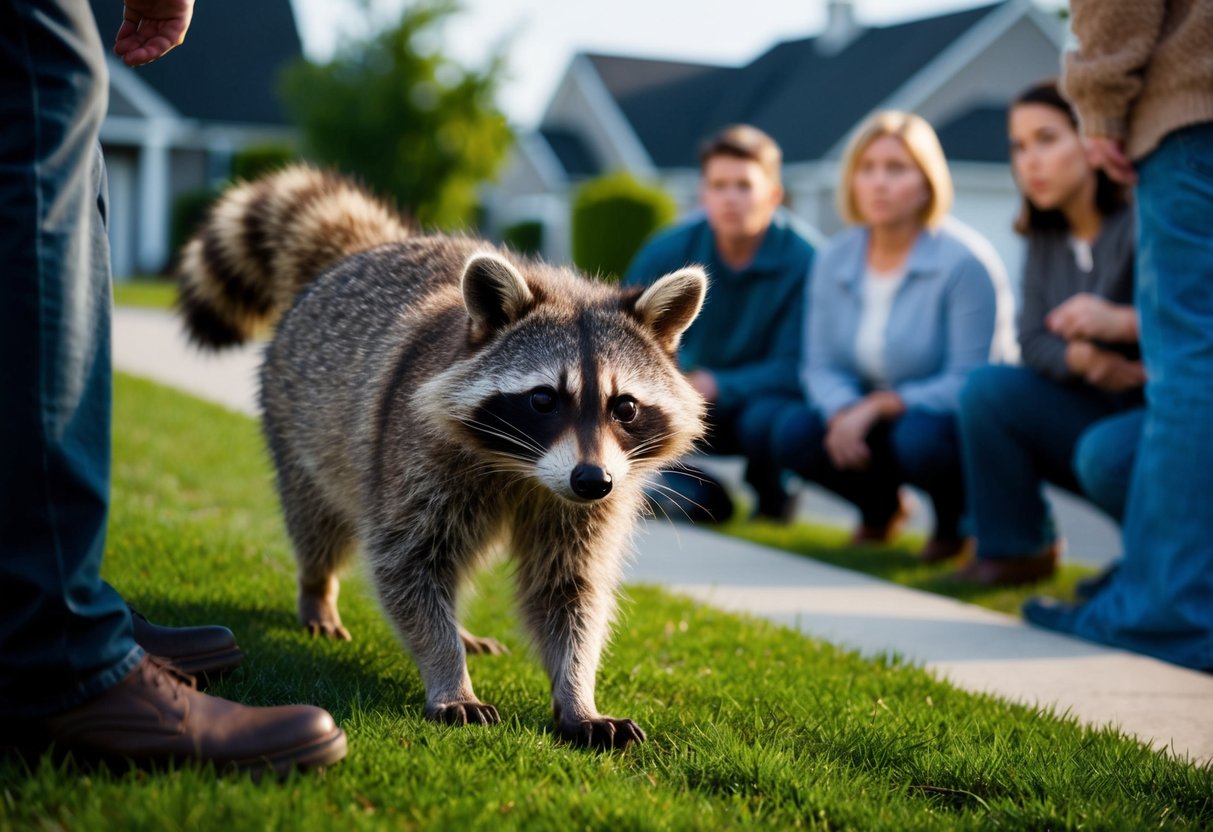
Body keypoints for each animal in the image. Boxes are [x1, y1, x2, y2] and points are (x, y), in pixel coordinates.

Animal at [177, 166, 707, 750]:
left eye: (625, 407)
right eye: (543, 400)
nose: (592, 481)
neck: (525, 471)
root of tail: (363, 250)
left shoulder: (600, 491)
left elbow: (570, 587)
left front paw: (576, 692)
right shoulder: (416, 457)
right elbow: (409, 564)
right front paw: (449, 674)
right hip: (301, 424)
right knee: (318, 522)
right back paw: (318, 587)